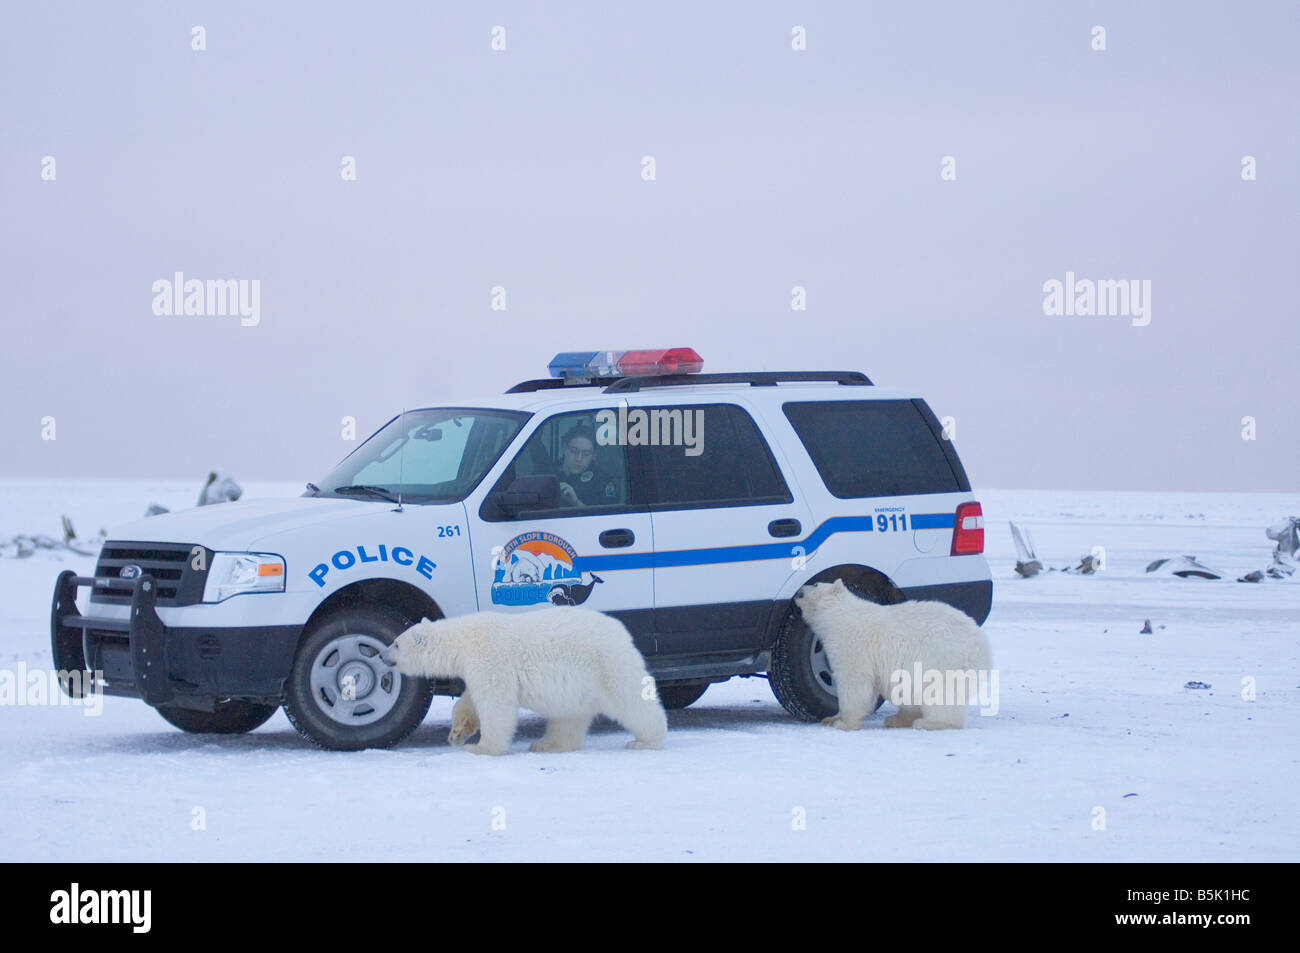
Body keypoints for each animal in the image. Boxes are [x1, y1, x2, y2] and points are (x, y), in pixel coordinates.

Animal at [378, 606, 667, 755]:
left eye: (396, 644)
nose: (381, 655)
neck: (464, 639)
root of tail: (621, 632)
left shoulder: (490, 658)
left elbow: (496, 705)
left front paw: (480, 747)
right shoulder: (475, 668)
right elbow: (470, 699)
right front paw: (457, 733)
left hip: (605, 664)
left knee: (631, 699)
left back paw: (645, 740)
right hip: (579, 684)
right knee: (569, 716)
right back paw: (548, 744)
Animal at [793, 579, 994, 730]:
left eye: (816, 584)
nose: (799, 590)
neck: (839, 616)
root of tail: (983, 646)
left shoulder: (853, 644)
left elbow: (854, 681)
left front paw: (844, 723)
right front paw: (831, 718)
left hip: (942, 659)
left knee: (938, 693)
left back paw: (928, 722)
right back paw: (897, 719)